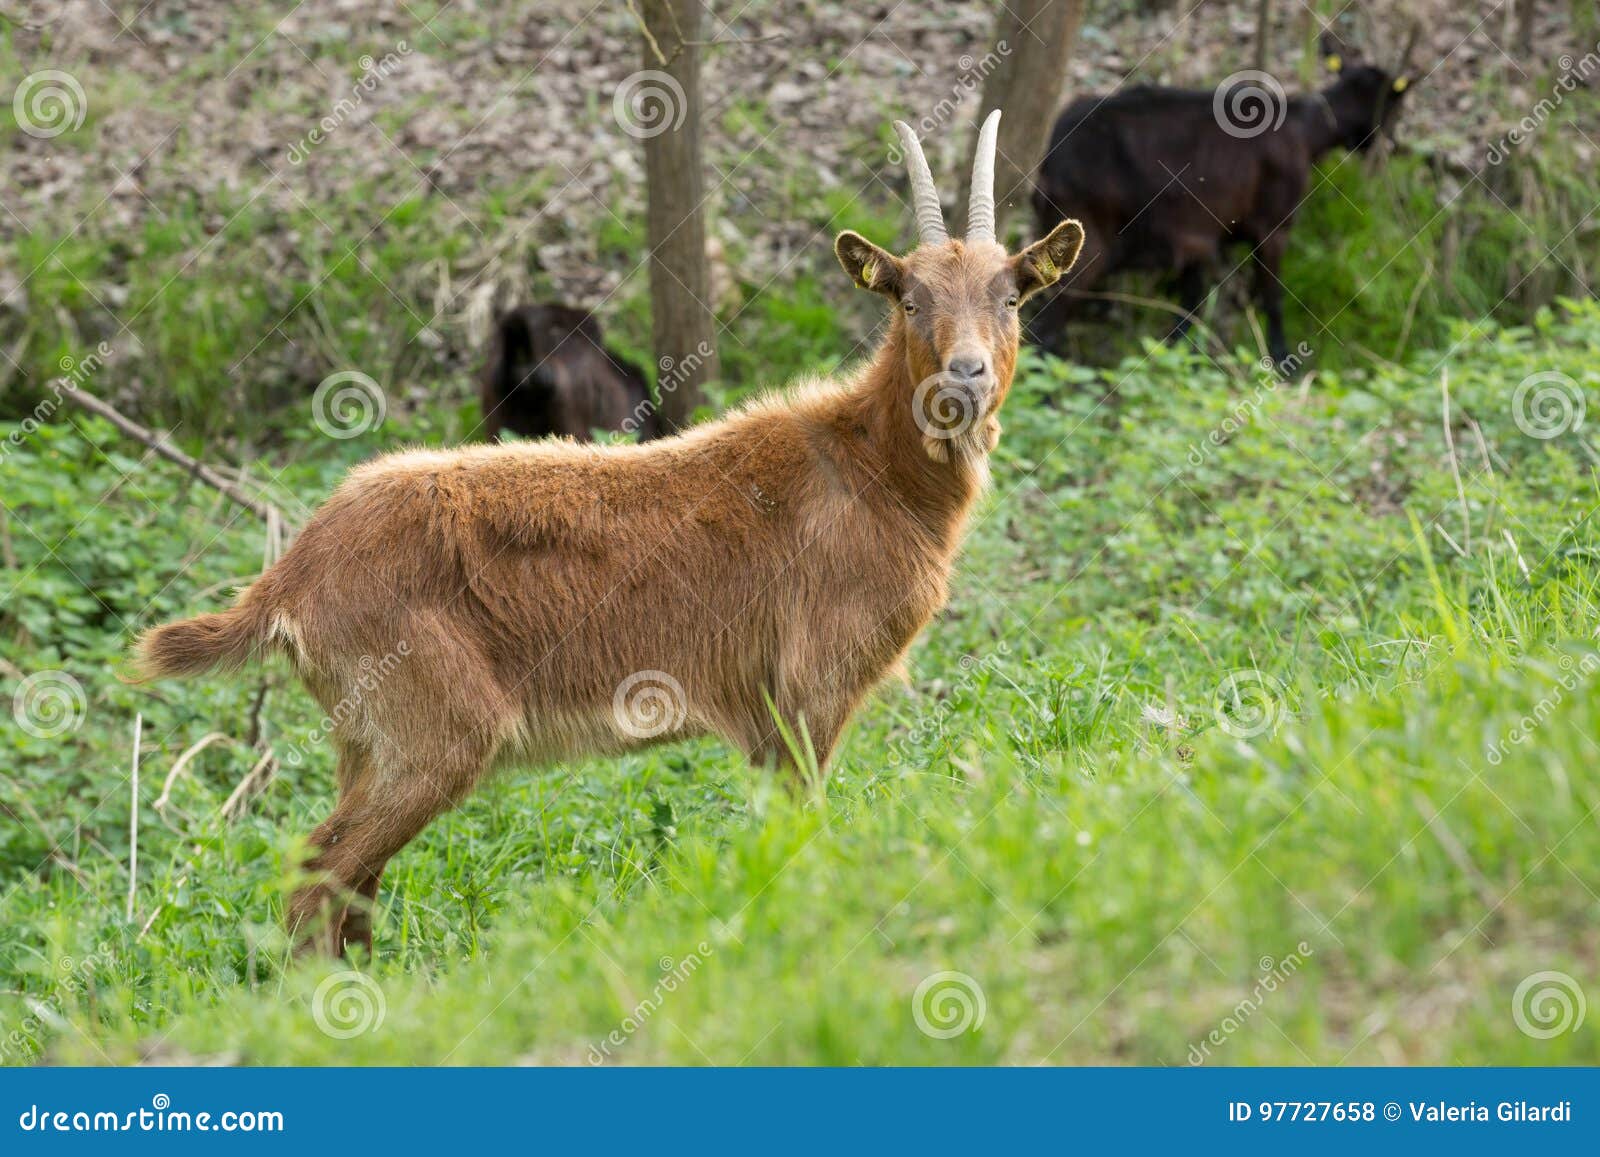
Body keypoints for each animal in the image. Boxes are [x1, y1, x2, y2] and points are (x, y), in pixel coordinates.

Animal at [1030, 57, 1411, 367]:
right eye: (1391, 103)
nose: (1390, 146)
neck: (1306, 131)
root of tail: (1049, 161)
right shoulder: (1274, 226)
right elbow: (1271, 297)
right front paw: (1283, 360)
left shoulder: (1197, 239)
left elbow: (1190, 310)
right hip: (1089, 243)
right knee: (1044, 329)